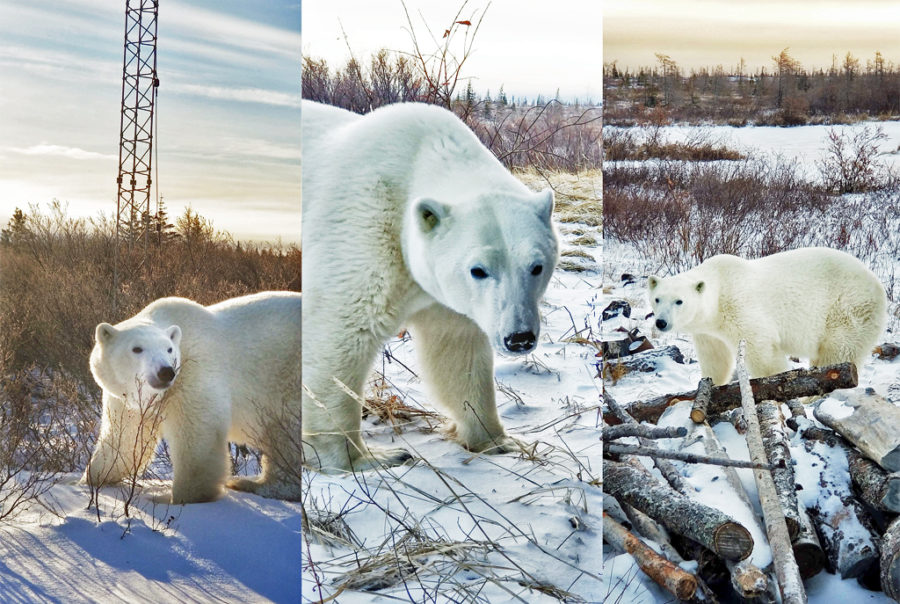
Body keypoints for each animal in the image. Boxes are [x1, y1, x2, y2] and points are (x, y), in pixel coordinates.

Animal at [84, 291, 302, 504]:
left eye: (169, 349)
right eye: (137, 348)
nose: (166, 372)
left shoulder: (194, 371)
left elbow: (196, 436)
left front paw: (184, 496)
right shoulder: (126, 400)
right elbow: (123, 438)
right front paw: (93, 477)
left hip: (290, 378)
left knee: (287, 437)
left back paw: (254, 484)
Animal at [301, 100, 559, 473]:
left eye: (536, 267)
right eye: (478, 270)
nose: (519, 337)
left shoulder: (445, 295)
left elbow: (457, 351)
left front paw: (499, 441)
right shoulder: (361, 230)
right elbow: (338, 339)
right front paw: (363, 458)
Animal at [648, 247, 887, 386]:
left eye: (679, 301)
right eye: (657, 299)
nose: (661, 322)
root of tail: (877, 283)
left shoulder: (740, 307)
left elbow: (762, 352)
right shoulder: (708, 331)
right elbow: (715, 358)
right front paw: (711, 384)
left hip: (848, 307)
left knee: (838, 351)